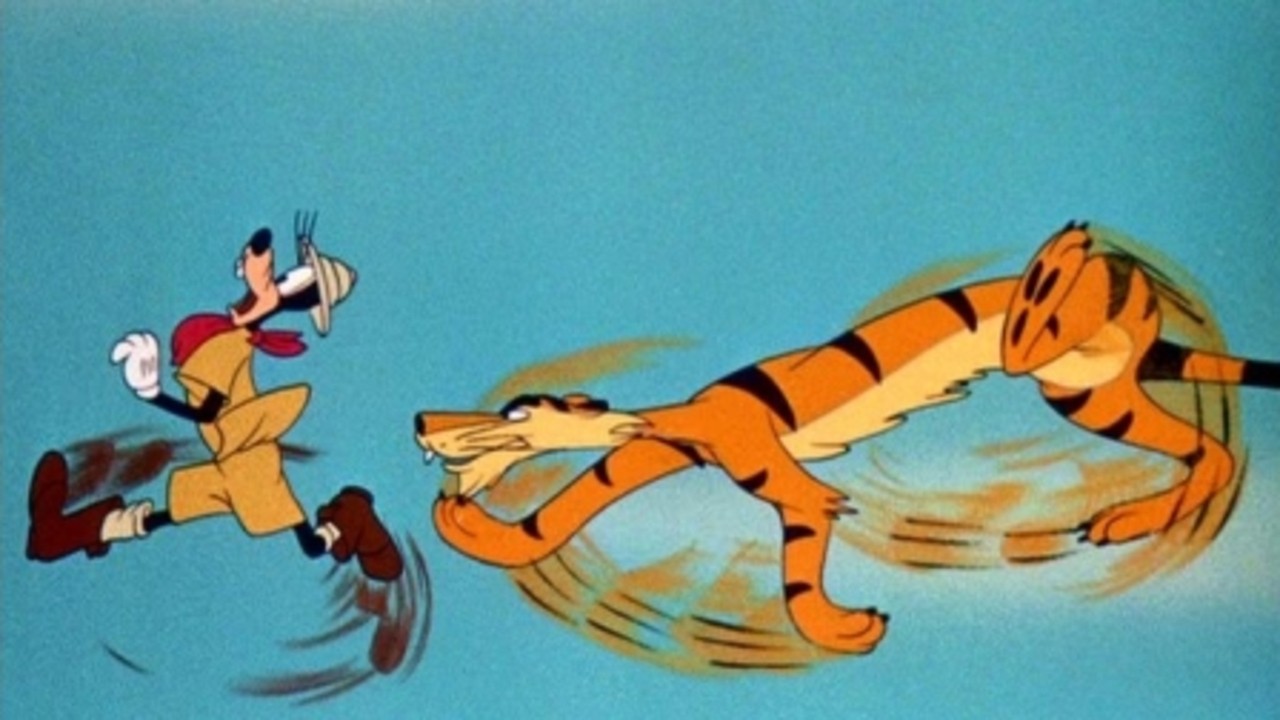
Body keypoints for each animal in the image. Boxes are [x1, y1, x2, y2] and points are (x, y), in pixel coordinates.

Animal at [414, 221, 1280, 655]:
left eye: (517, 412)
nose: (422, 422)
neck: (680, 423)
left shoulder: (755, 455)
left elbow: (806, 523)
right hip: (1090, 391)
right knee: (1208, 451)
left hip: (1071, 370)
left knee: (1205, 441)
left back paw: (1052, 271)